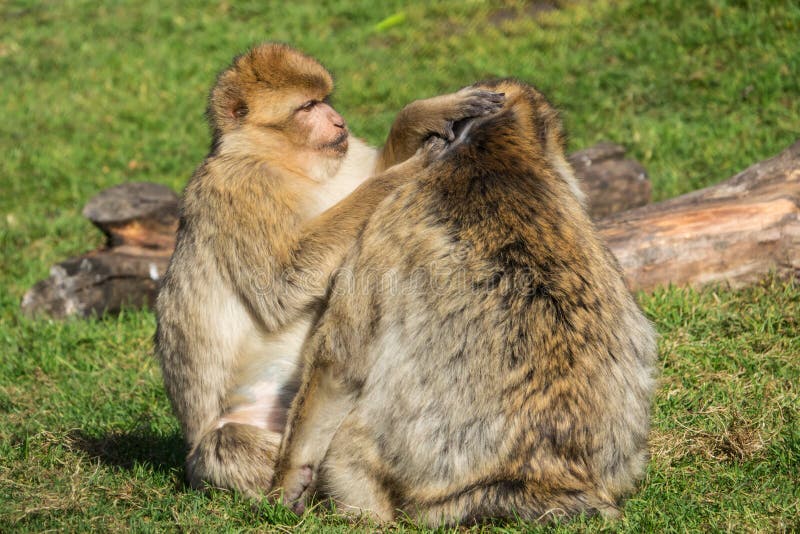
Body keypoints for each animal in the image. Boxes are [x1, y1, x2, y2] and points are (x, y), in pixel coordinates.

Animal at [154, 42, 506, 497]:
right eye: (306, 107)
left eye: (324, 99)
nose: (338, 120)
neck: (288, 161)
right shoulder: (240, 188)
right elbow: (283, 284)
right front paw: (410, 168)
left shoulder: (344, 155)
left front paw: (426, 113)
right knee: (224, 444)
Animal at [271, 78, 658, 526]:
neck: (489, 153)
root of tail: (545, 478)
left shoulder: (382, 226)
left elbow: (337, 365)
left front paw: (288, 477)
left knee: (348, 445)